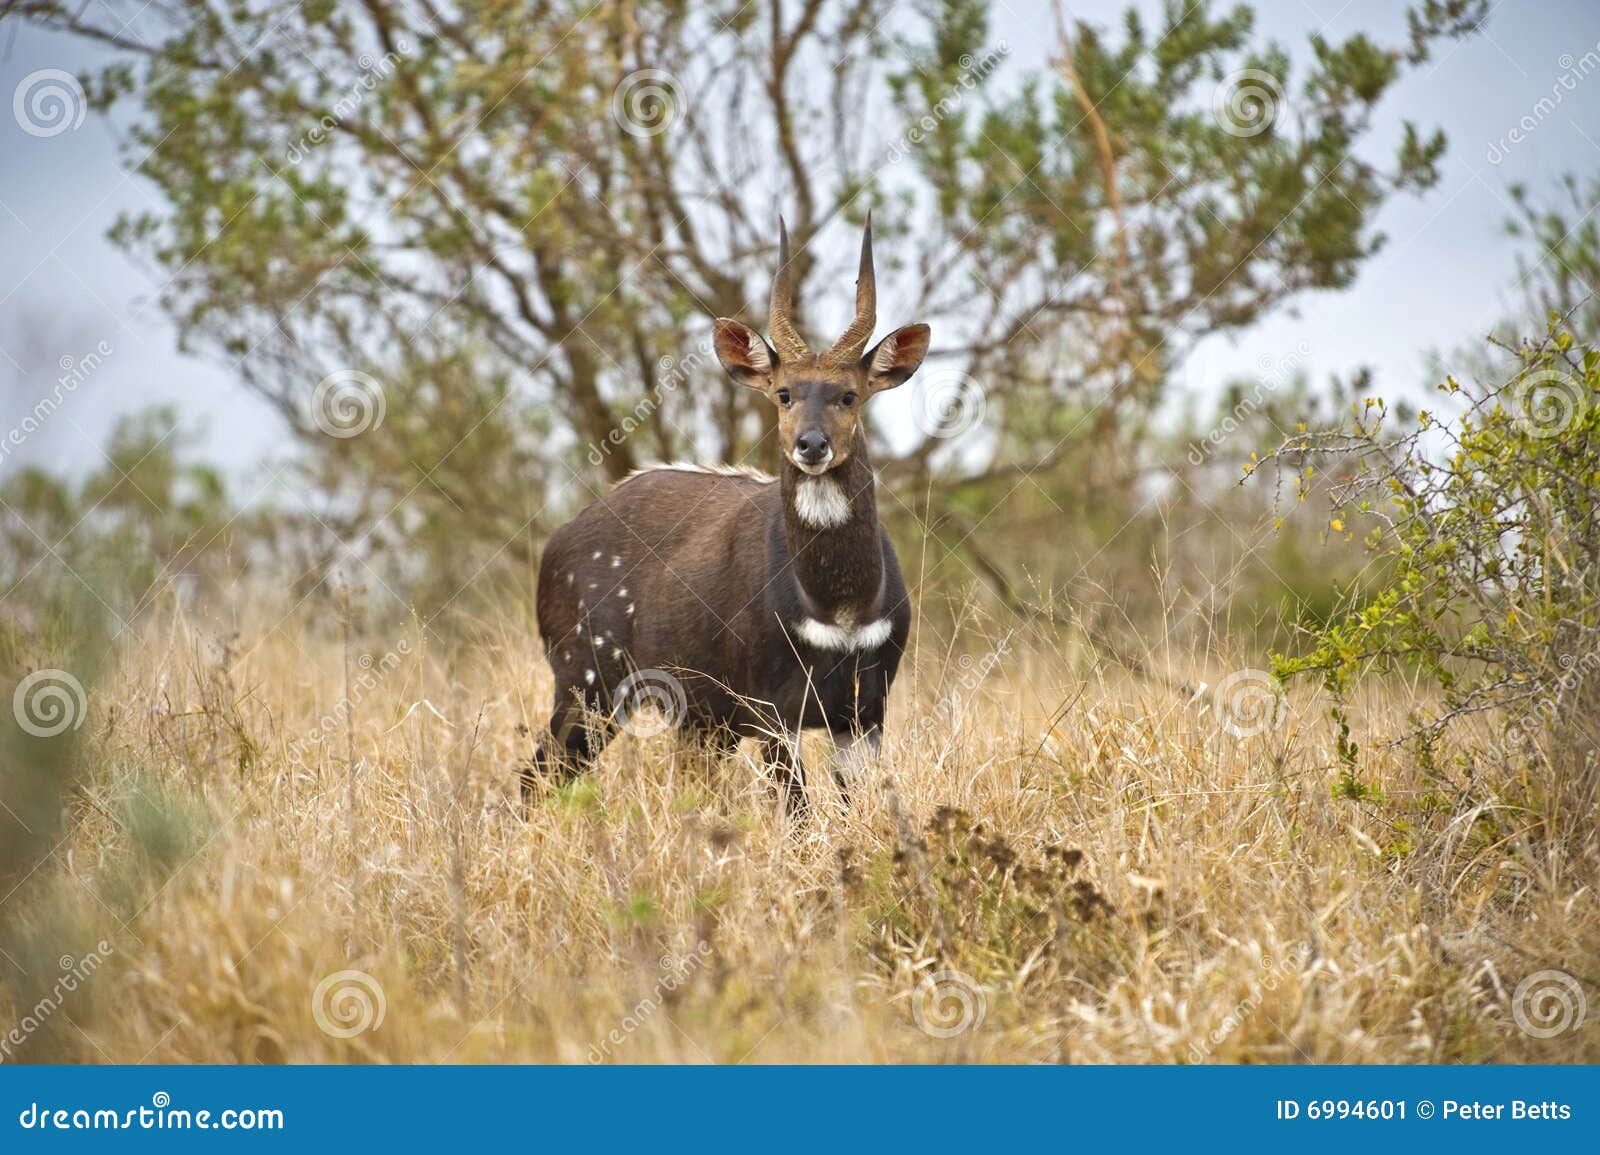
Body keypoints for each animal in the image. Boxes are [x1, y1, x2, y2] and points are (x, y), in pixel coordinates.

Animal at [522, 216, 929, 814]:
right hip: (587, 682)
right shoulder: (773, 708)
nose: (811, 445)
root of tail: (558, 541)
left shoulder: (865, 712)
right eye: (783, 393)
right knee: (536, 775)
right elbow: (799, 814)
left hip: (694, 717)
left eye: (849, 395)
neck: (840, 605)